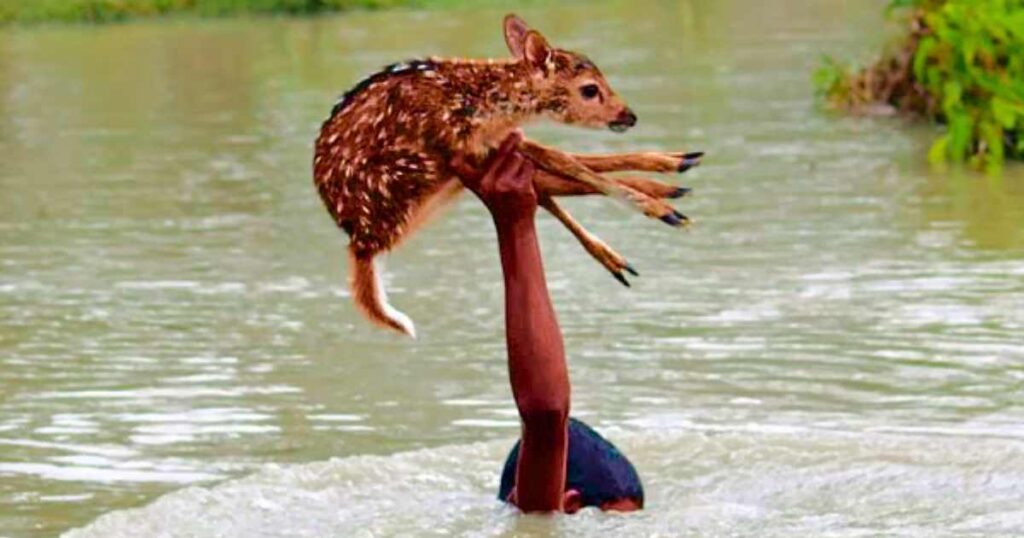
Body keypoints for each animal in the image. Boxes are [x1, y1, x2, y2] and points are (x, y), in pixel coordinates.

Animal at [313, 14, 703, 338]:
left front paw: (668, 173)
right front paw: (660, 204)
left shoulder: (493, 142)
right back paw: (663, 205)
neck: (487, 103)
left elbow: (565, 162)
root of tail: (359, 243)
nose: (629, 116)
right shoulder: (461, 143)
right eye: (590, 89)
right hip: (415, 173)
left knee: (545, 184)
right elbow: (565, 161)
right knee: (549, 180)